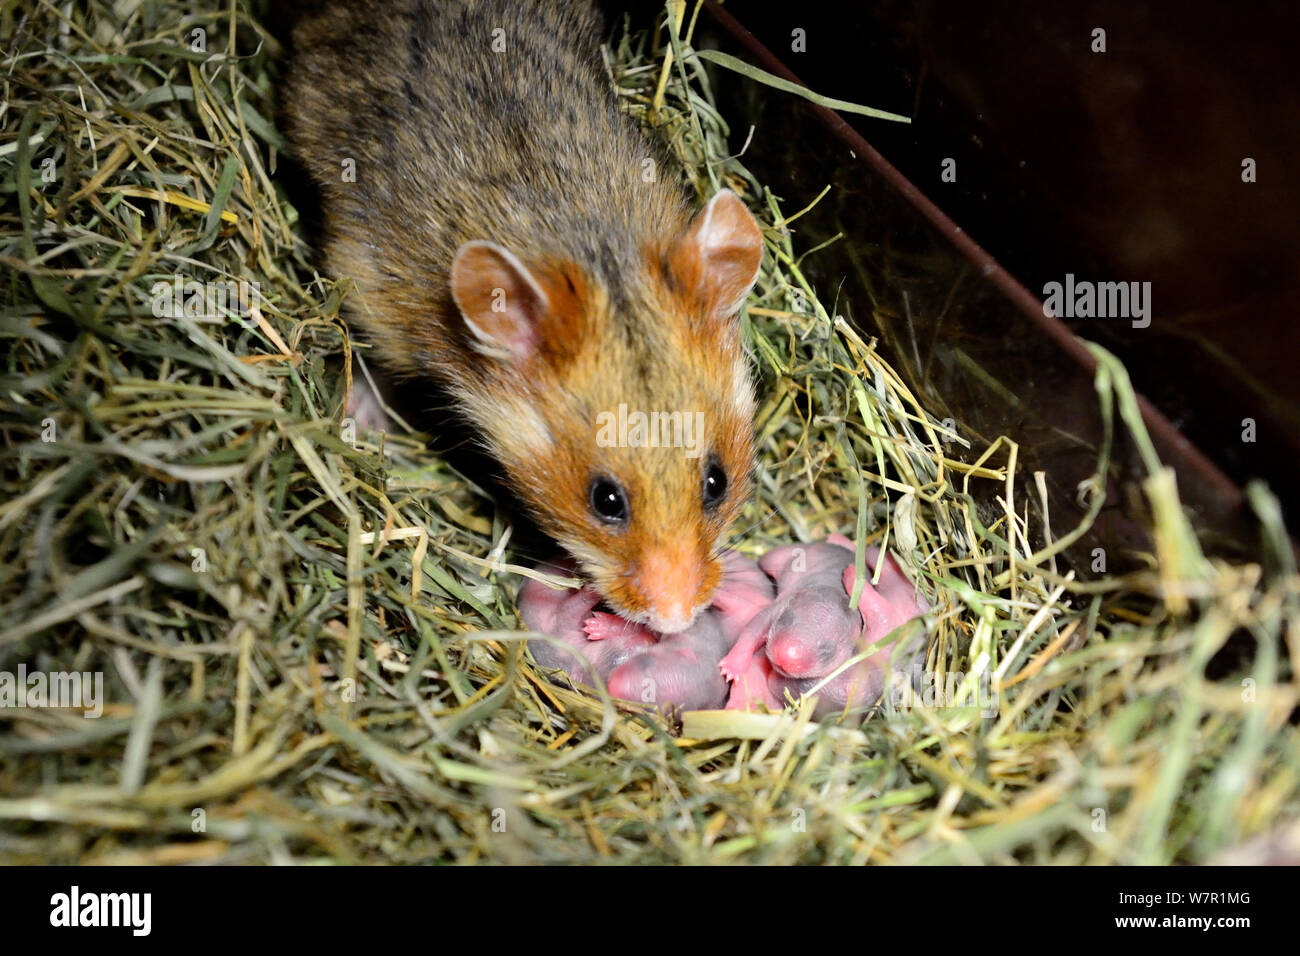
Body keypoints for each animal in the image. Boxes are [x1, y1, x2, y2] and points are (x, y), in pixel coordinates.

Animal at [284, 0, 765, 633]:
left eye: (716, 481)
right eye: (605, 500)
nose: (677, 621)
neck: (589, 243)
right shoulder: (366, 282)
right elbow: (374, 363)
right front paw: (360, 417)